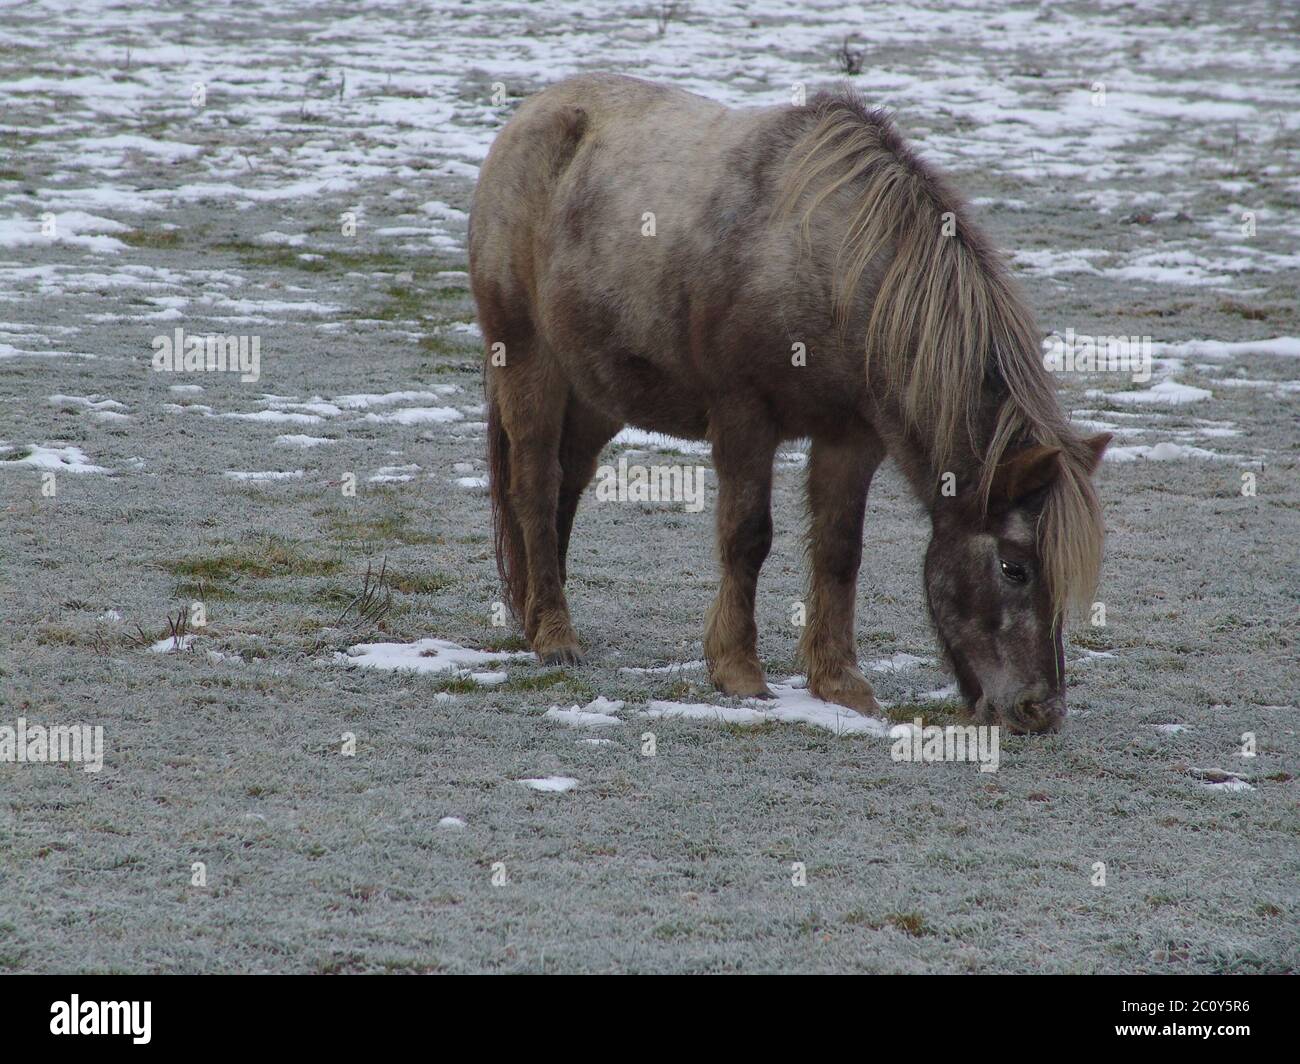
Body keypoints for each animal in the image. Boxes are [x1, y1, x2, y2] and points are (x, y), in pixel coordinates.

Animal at [468, 74, 1110, 735]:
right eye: (1014, 567)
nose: (1042, 711)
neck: (832, 271)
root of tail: (532, 115)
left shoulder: (852, 438)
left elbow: (839, 551)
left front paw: (839, 682)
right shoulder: (744, 417)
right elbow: (747, 537)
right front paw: (737, 668)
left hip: (597, 392)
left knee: (567, 483)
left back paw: (535, 614)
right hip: (529, 362)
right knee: (536, 486)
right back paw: (553, 634)